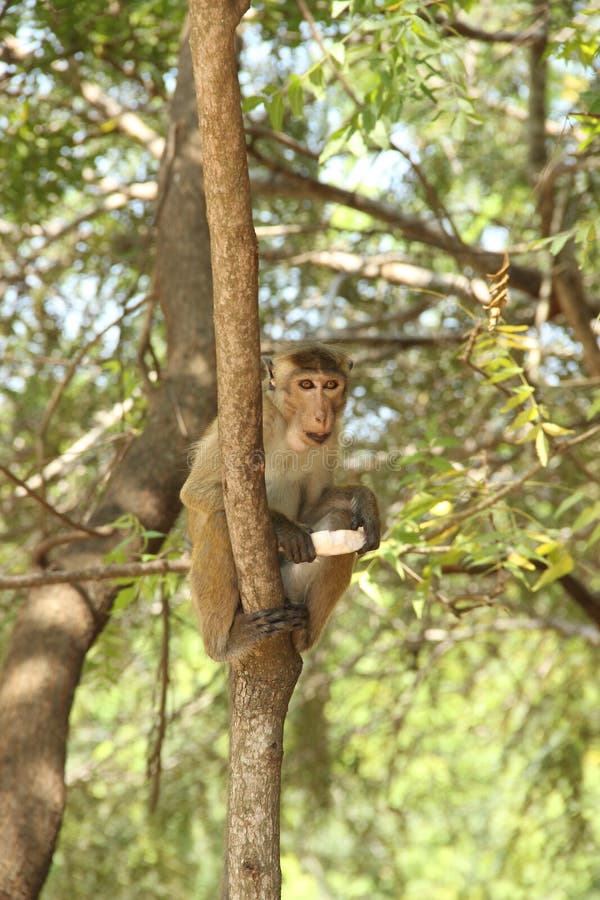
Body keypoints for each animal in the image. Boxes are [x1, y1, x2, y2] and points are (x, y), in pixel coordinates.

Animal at [180, 343, 380, 662]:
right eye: (306, 385)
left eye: (331, 385)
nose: (321, 416)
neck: (289, 426)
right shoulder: (251, 422)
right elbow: (195, 490)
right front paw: (286, 529)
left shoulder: (331, 437)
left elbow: (311, 506)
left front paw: (365, 501)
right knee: (221, 521)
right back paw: (226, 642)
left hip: (290, 585)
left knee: (340, 521)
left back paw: (302, 635)